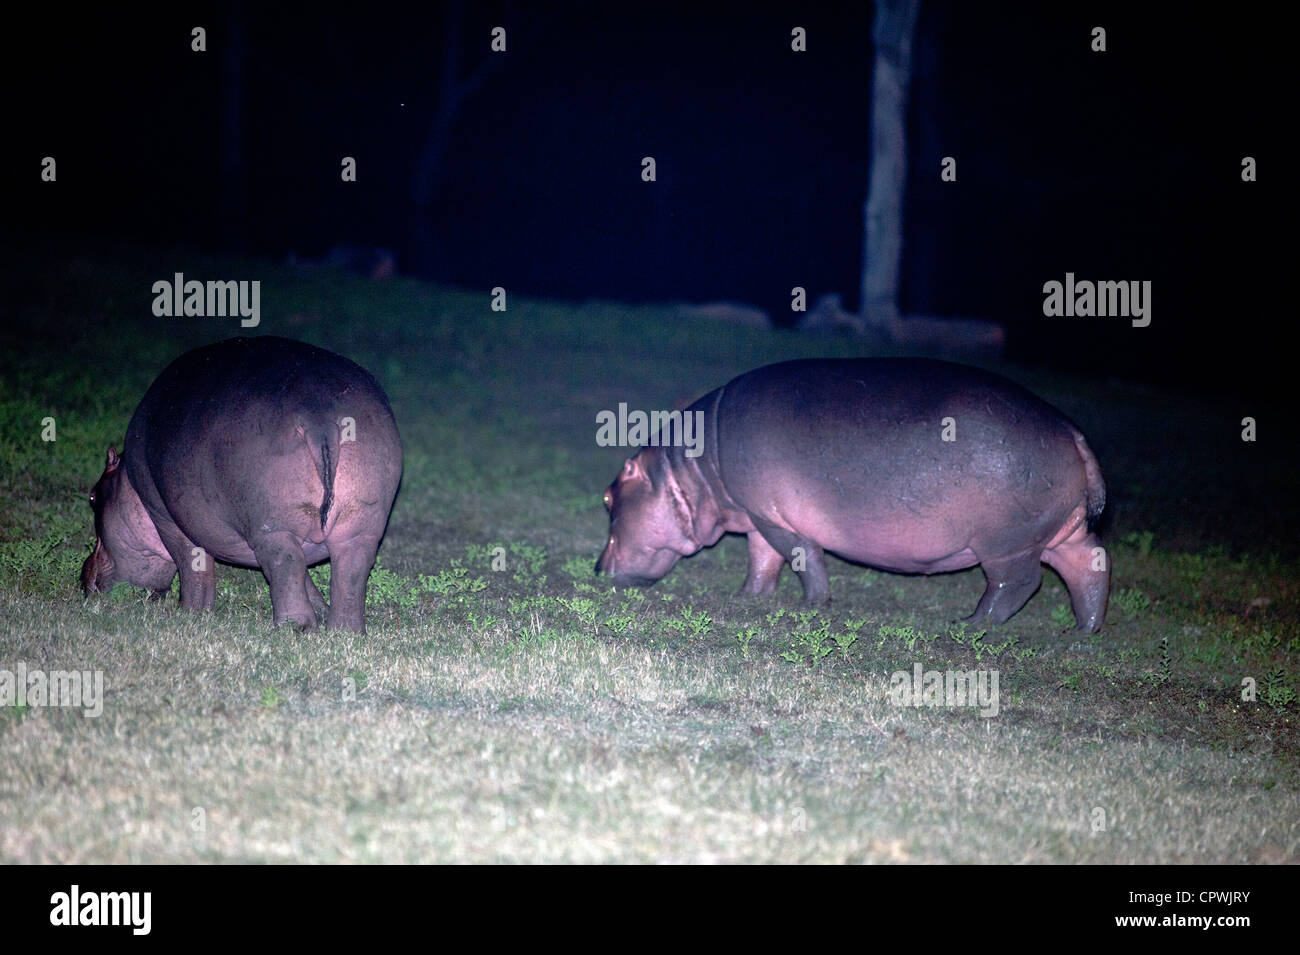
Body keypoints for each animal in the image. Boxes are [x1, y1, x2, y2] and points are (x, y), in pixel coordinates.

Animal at [82, 336, 402, 632]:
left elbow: (193, 564)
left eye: (92, 497)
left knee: (284, 564)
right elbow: (308, 581)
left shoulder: (166, 517)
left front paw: (190, 613)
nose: (82, 577)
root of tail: (318, 413)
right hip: (361, 522)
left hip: (270, 526)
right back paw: (343, 631)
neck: (126, 480)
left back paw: (293, 628)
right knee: (348, 570)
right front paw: (321, 611)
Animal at [596, 358, 1108, 631]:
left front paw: (811, 605)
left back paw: (972, 624)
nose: (598, 568)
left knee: (1018, 582)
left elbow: (801, 556)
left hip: (1008, 543)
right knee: (1089, 565)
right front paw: (748, 598)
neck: (692, 469)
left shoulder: (775, 517)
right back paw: (1082, 631)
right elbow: (762, 559)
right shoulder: (757, 512)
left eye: (607, 498)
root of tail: (1072, 433)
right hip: (1062, 533)